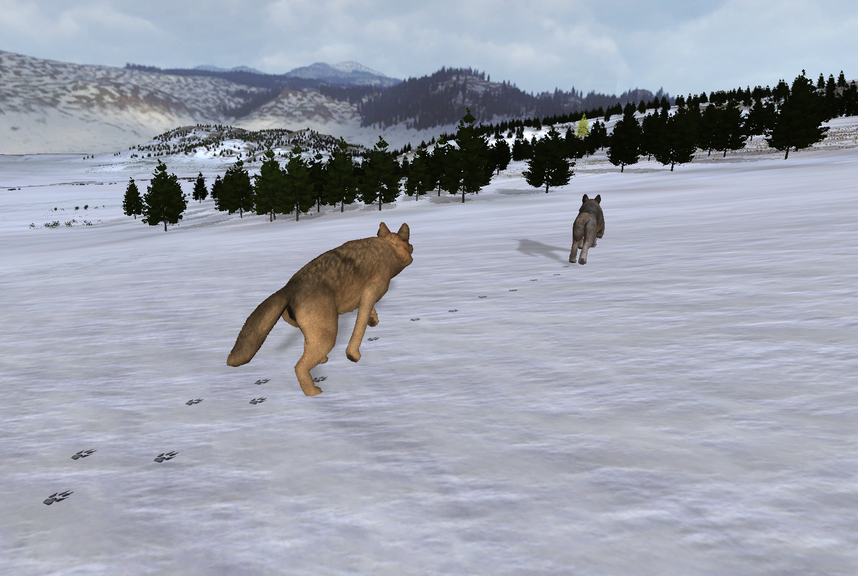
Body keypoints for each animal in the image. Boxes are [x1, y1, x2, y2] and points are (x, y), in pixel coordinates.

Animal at [227, 222, 414, 396]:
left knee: (307, 346)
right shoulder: (371, 290)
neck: (387, 247)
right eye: (407, 240)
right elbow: (360, 324)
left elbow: (366, 311)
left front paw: (373, 320)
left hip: (313, 330)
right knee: (299, 366)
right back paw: (313, 392)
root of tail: (289, 287)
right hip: (327, 335)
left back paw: (321, 360)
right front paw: (353, 354)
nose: (412, 247)